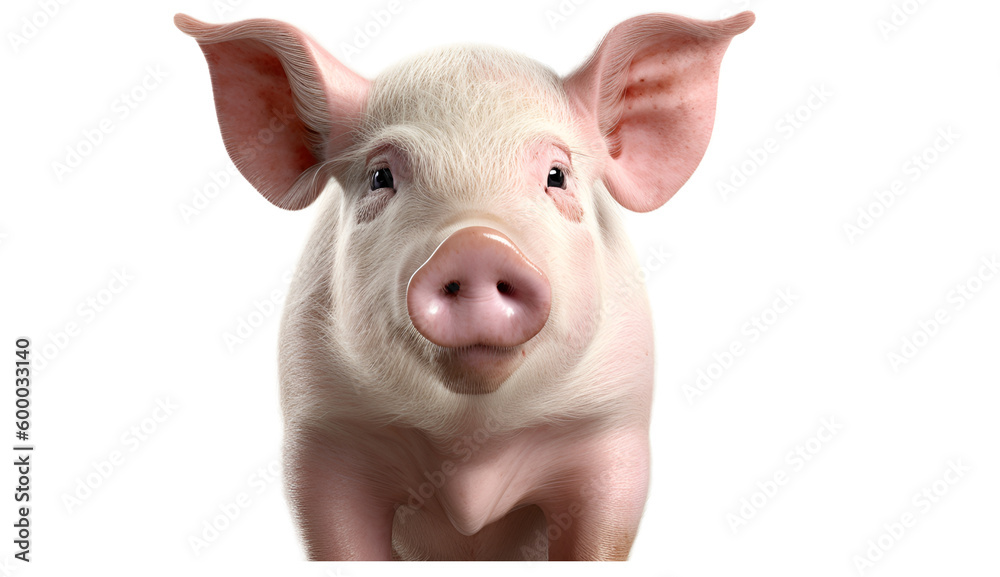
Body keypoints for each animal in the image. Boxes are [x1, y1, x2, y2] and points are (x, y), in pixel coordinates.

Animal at [175, 9, 753, 560]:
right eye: (381, 177)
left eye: (557, 175)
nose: (477, 242)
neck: (471, 445)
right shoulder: (323, 433)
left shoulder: (613, 430)